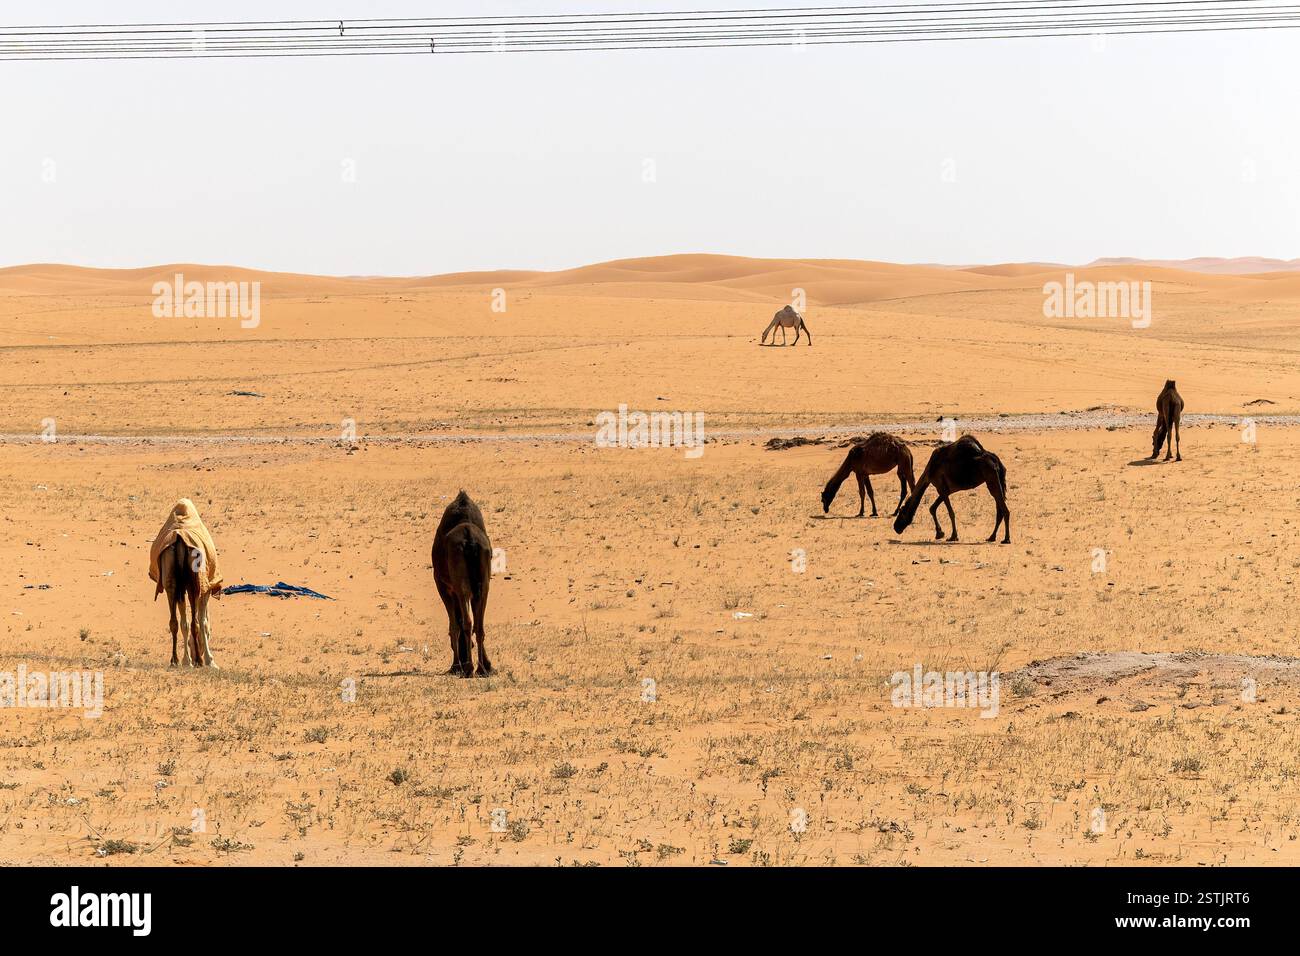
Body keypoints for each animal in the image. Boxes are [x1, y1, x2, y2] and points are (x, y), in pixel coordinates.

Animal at [431, 490, 493, 677]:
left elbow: (454, 625)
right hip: (483, 584)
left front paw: (455, 666)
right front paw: (488, 665)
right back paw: (481, 668)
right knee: (478, 625)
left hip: (461, 585)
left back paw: (468, 668)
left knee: (466, 622)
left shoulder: (443, 585)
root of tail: (469, 539)